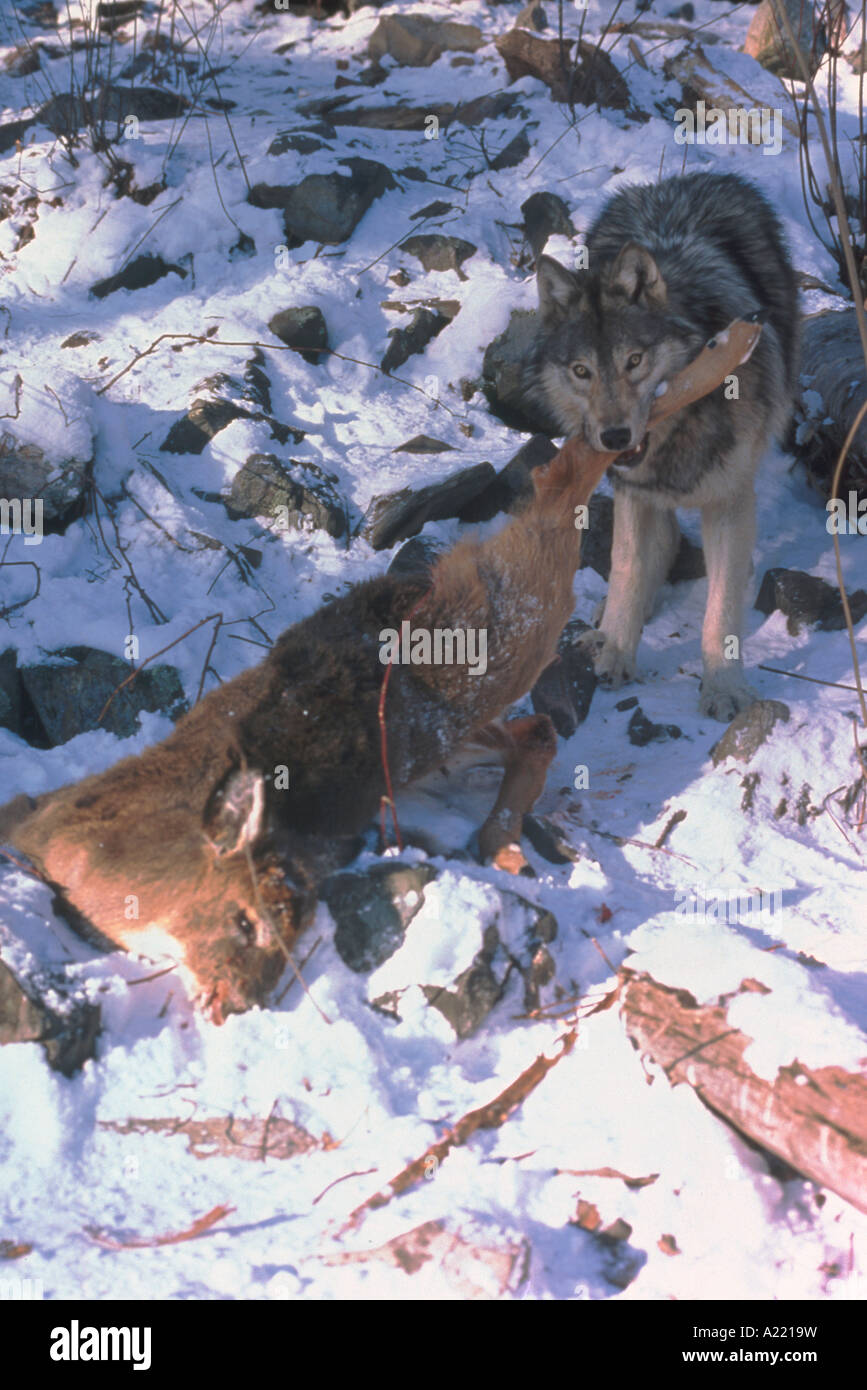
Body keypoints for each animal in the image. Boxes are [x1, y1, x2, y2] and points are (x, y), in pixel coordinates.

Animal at [534, 171, 799, 721]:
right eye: (582, 371)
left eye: (634, 361)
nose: (615, 436)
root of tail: (677, 180)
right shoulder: (635, 489)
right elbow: (628, 566)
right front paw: (614, 649)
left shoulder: (728, 497)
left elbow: (721, 609)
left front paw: (724, 687)